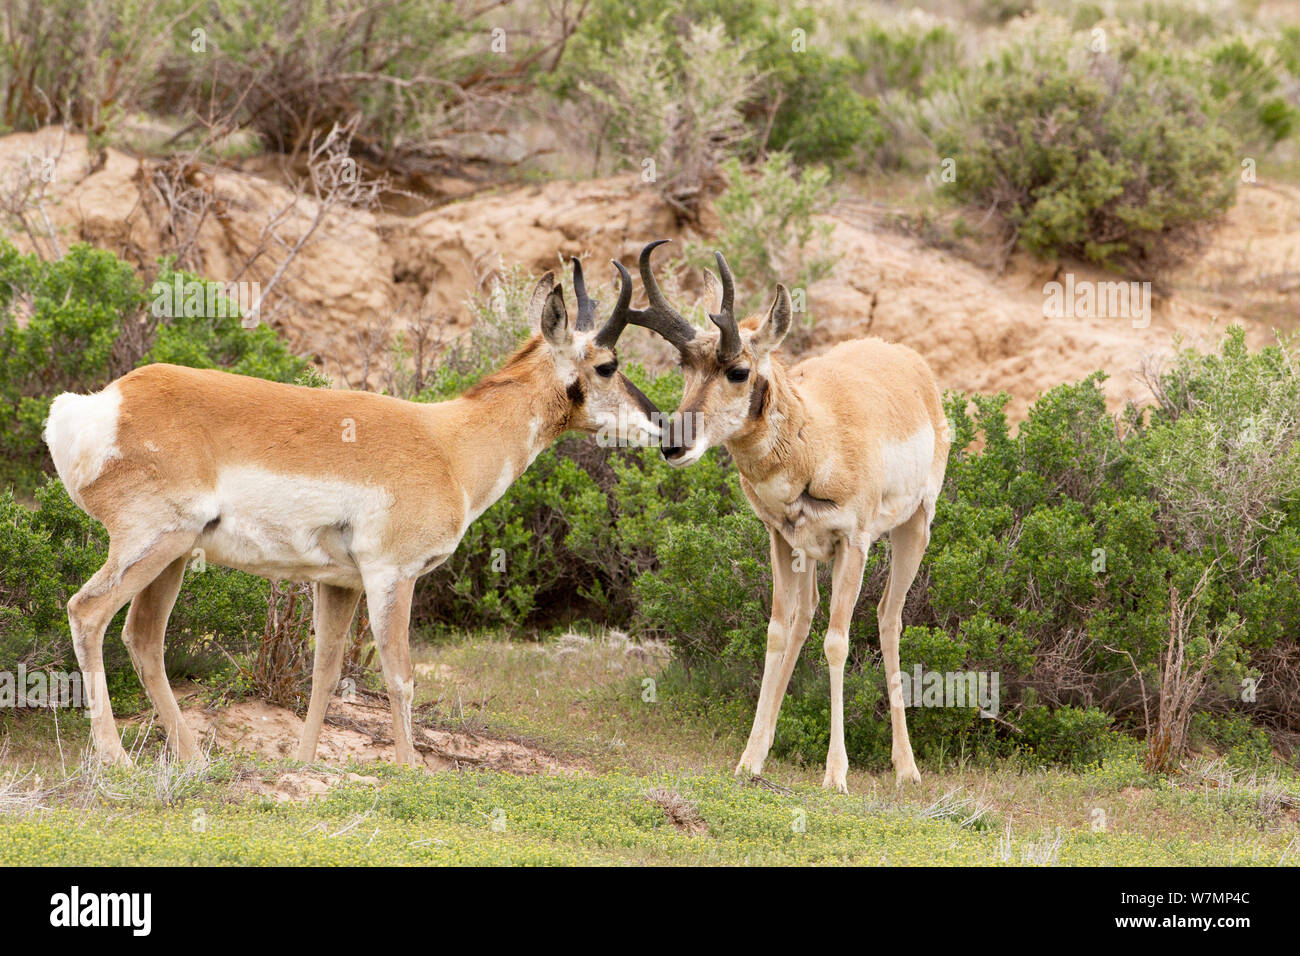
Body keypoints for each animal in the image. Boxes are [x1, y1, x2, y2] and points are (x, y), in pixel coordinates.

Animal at [43, 257, 661, 767]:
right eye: (607, 365)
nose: (660, 423)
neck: (447, 442)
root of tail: (101, 403)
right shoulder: (393, 576)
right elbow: (400, 676)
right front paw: (411, 770)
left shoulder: (337, 584)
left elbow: (325, 671)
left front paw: (303, 762)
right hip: (151, 546)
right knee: (87, 613)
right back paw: (116, 760)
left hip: (172, 558)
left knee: (143, 640)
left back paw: (193, 759)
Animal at [625, 240, 950, 790]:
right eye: (683, 365)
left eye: (738, 371)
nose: (673, 444)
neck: (816, 435)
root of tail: (906, 360)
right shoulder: (779, 538)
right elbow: (778, 629)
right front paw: (748, 759)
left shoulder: (853, 545)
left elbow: (838, 642)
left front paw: (835, 775)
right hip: (811, 553)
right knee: (805, 617)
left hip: (913, 530)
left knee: (888, 619)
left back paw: (907, 768)